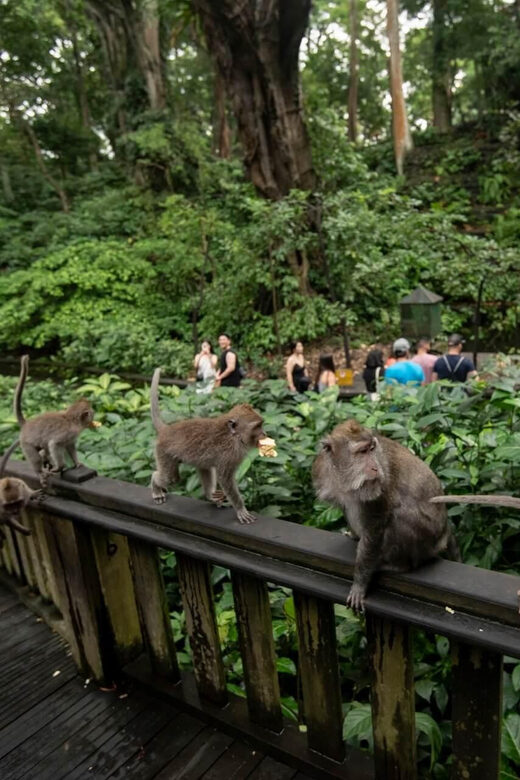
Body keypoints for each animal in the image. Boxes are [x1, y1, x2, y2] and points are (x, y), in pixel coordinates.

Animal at [14, 355, 97, 487]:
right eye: (91, 413)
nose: (94, 416)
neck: (72, 420)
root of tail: (26, 424)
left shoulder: (71, 436)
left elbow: (70, 446)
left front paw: (77, 462)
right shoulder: (68, 432)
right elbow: (55, 444)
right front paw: (60, 466)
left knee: (45, 449)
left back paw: (45, 459)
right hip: (25, 443)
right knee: (37, 456)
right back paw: (40, 472)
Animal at [150, 367, 265, 524]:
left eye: (261, 424)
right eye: (257, 427)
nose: (264, 433)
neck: (233, 437)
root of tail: (166, 430)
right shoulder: (229, 454)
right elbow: (225, 479)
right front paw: (241, 509)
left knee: (203, 467)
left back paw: (210, 496)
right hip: (163, 452)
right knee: (170, 478)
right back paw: (156, 485)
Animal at [312, 419, 461, 612]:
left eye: (371, 449)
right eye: (362, 452)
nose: (376, 468)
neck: (343, 478)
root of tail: (444, 531)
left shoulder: (379, 488)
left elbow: (375, 528)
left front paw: (360, 583)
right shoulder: (321, 471)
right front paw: (354, 535)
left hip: (428, 541)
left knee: (398, 517)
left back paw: (398, 565)